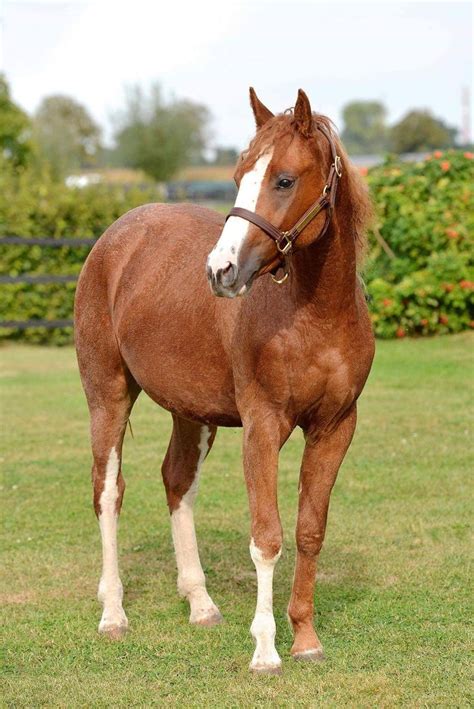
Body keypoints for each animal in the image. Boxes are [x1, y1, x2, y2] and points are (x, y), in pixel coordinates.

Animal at [74, 88, 375, 674]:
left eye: (284, 179)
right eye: (238, 175)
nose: (221, 271)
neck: (315, 315)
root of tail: (114, 238)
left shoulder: (335, 427)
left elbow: (309, 531)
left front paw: (305, 638)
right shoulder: (262, 427)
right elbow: (266, 537)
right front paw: (265, 649)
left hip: (191, 412)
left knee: (177, 482)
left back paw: (200, 603)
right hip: (108, 398)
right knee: (108, 492)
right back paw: (113, 613)